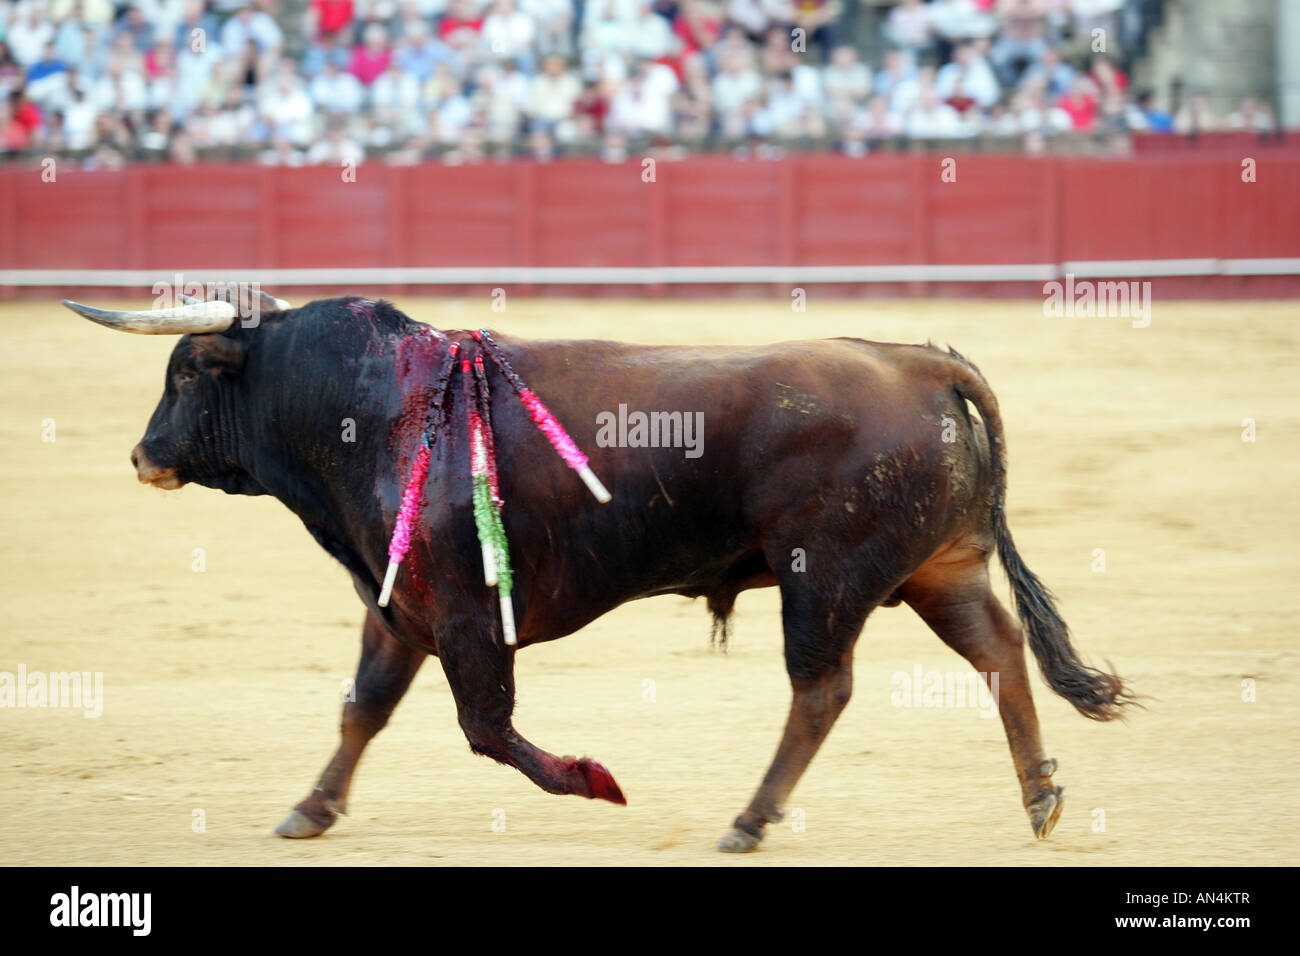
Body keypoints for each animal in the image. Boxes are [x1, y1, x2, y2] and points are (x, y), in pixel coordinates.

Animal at [63, 289, 1131, 852]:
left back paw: (750, 820)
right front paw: (311, 810)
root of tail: (921, 363)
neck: (375, 407)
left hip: (822, 581)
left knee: (823, 689)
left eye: (186, 373)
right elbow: (362, 709)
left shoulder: (464, 617)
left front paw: (594, 781)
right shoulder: (398, 605)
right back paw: (1041, 795)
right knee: (998, 652)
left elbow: (487, 730)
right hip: (936, 569)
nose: (142, 455)